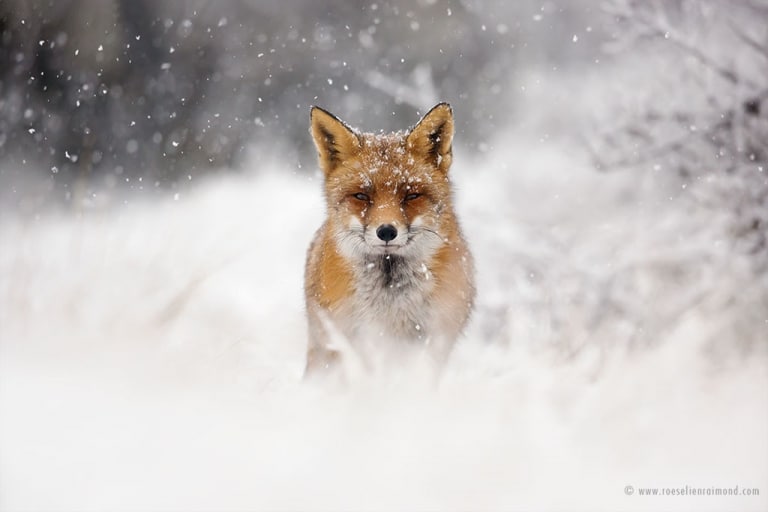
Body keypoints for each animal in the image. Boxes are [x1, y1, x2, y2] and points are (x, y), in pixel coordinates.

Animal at [304, 103, 475, 377]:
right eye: (361, 196)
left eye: (412, 195)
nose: (386, 231)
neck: (390, 296)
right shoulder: (351, 338)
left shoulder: (433, 338)